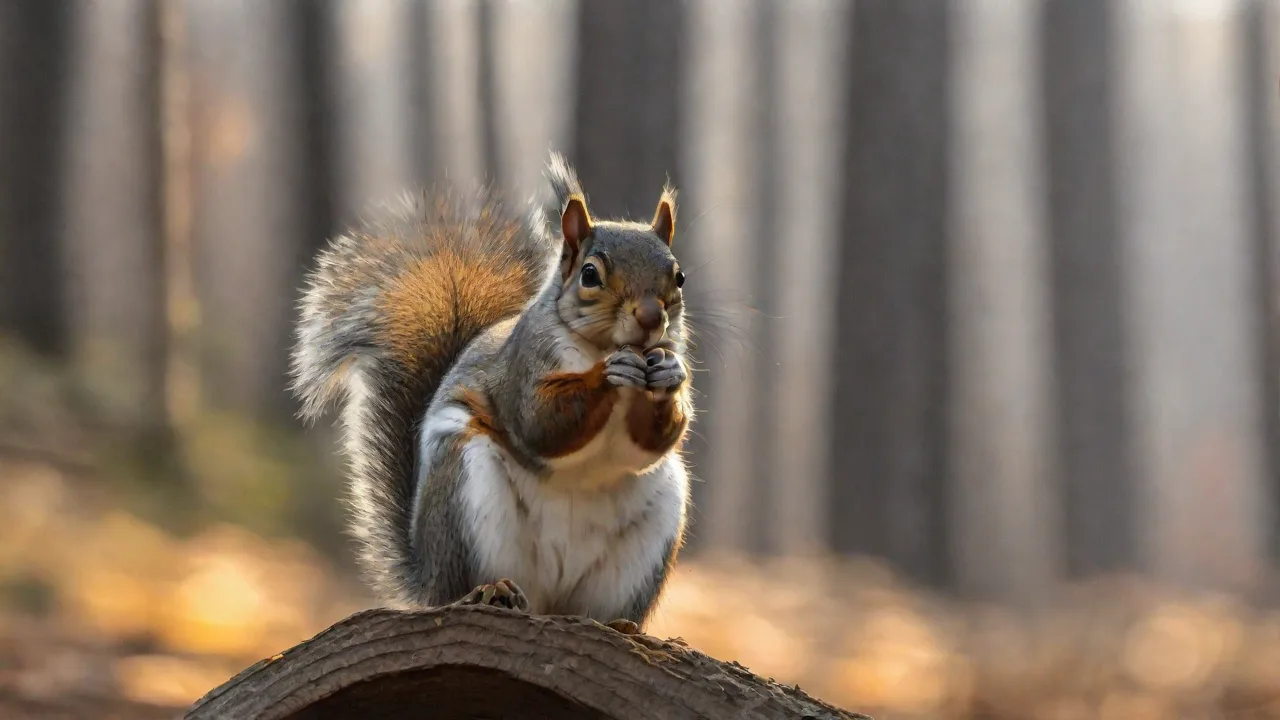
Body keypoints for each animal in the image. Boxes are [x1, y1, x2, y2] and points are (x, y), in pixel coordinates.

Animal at [290, 152, 693, 633]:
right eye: (590, 274)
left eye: (679, 276)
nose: (651, 317)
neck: (603, 346)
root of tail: (428, 576)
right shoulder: (522, 367)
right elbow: (541, 422)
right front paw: (607, 373)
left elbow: (651, 440)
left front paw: (669, 376)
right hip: (466, 488)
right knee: (465, 587)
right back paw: (488, 590)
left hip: (645, 537)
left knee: (592, 610)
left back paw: (616, 624)